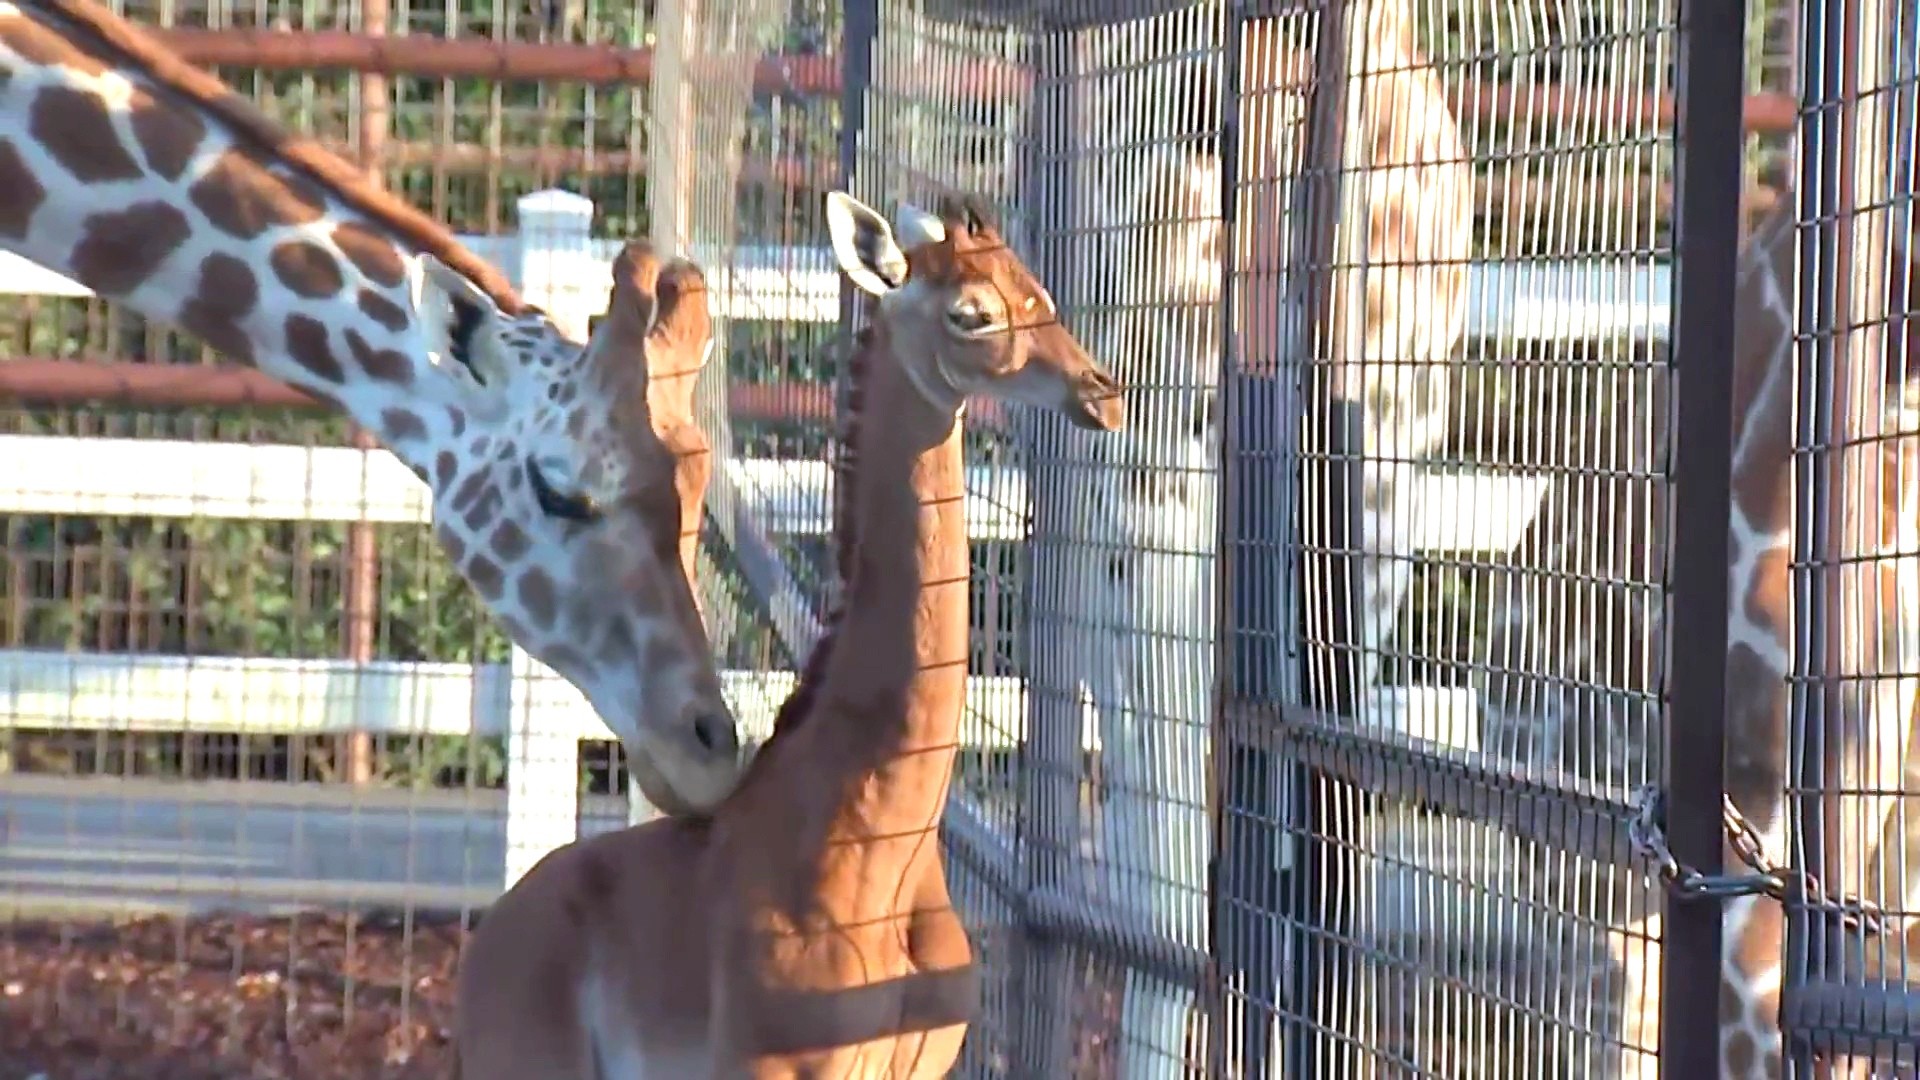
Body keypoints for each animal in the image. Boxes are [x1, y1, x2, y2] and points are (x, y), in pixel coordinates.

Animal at [450, 189, 1124, 1077]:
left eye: (1037, 288)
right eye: (972, 313)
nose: (1103, 394)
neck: (881, 846)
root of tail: (484, 949)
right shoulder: (767, 1063)